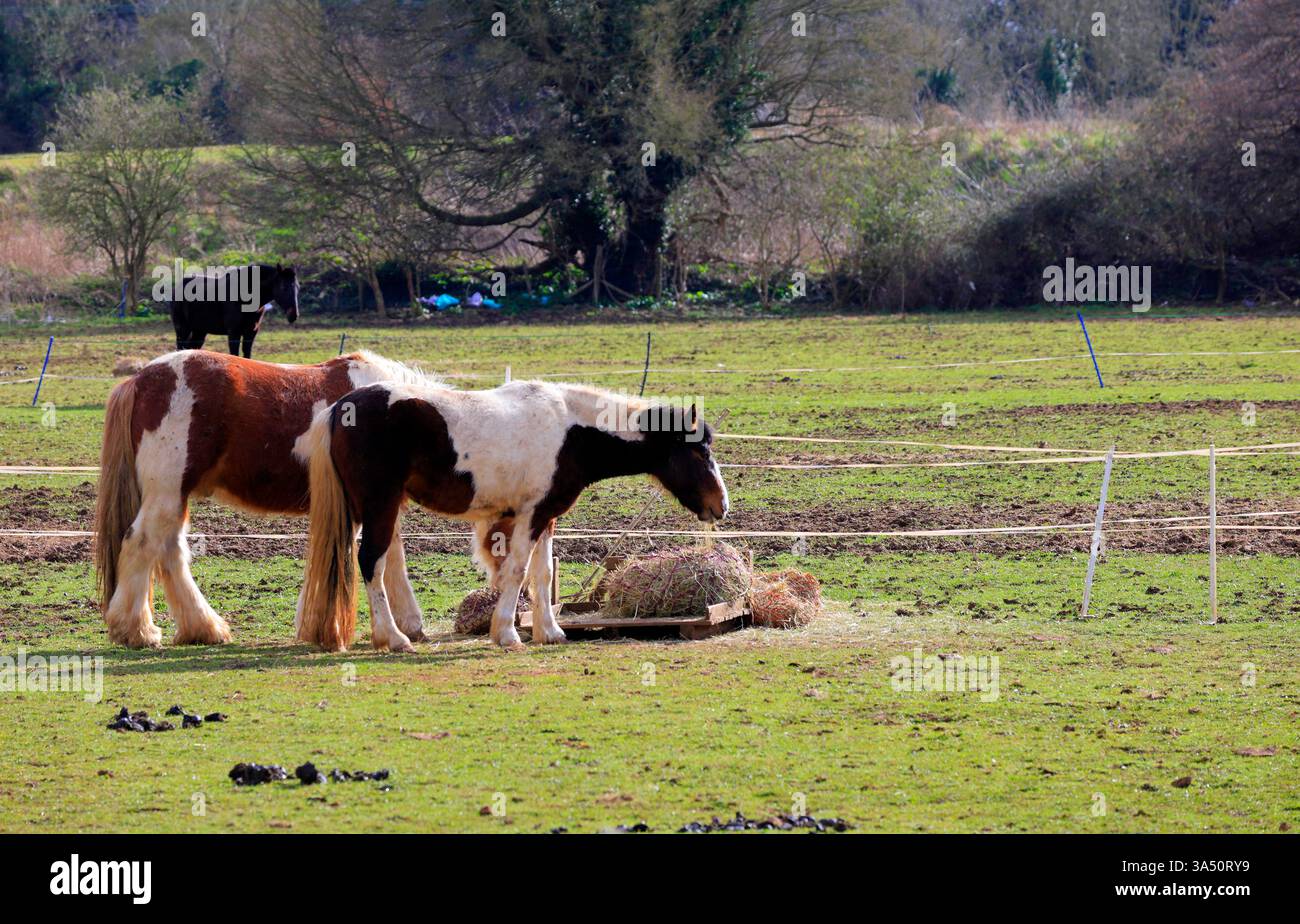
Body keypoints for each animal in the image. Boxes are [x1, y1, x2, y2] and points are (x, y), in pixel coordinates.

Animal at [94, 348, 437, 648]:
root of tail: (140, 380)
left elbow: (384, 555)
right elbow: (381, 557)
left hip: (174, 496)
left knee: (170, 551)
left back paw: (204, 628)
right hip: (166, 493)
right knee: (141, 544)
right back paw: (136, 630)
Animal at [168, 263, 300, 359]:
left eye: (297, 287)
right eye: (284, 287)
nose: (294, 314)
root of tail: (177, 287)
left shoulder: (251, 333)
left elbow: (247, 356)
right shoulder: (234, 333)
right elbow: (234, 355)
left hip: (199, 331)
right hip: (182, 329)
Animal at [296, 380, 730, 652]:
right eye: (699, 452)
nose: (721, 506)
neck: (571, 430)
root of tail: (340, 408)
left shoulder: (547, 516)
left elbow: (543, 574)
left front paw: (549, 632)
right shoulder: (531, 515)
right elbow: (517, 572)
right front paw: (506, 632)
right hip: (380, 507)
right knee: (371, 562)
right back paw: (395, 639)